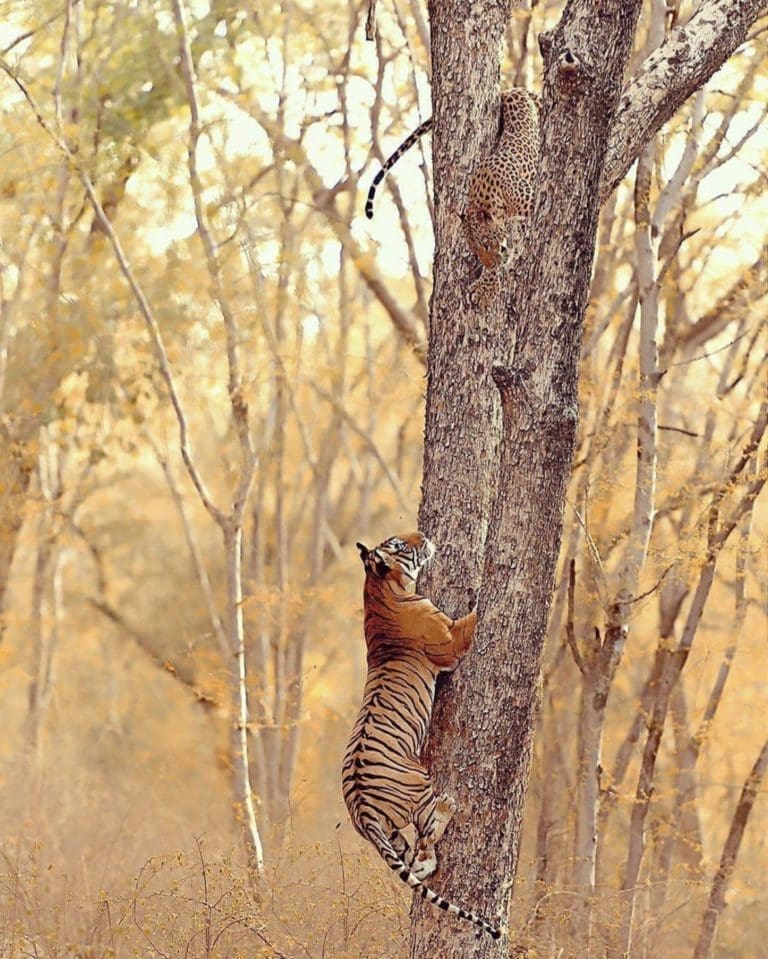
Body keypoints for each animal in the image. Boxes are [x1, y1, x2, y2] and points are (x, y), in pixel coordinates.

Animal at [341, 531, 501, 940]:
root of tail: (361, 808)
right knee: (428, 841)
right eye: (399, 545)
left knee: (415, 861)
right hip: (419, 786)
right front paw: (484, 588)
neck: (379, 588)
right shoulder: (451, 640)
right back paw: (447, 806)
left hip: (389, 832)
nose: (424, 536)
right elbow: (472, 617)